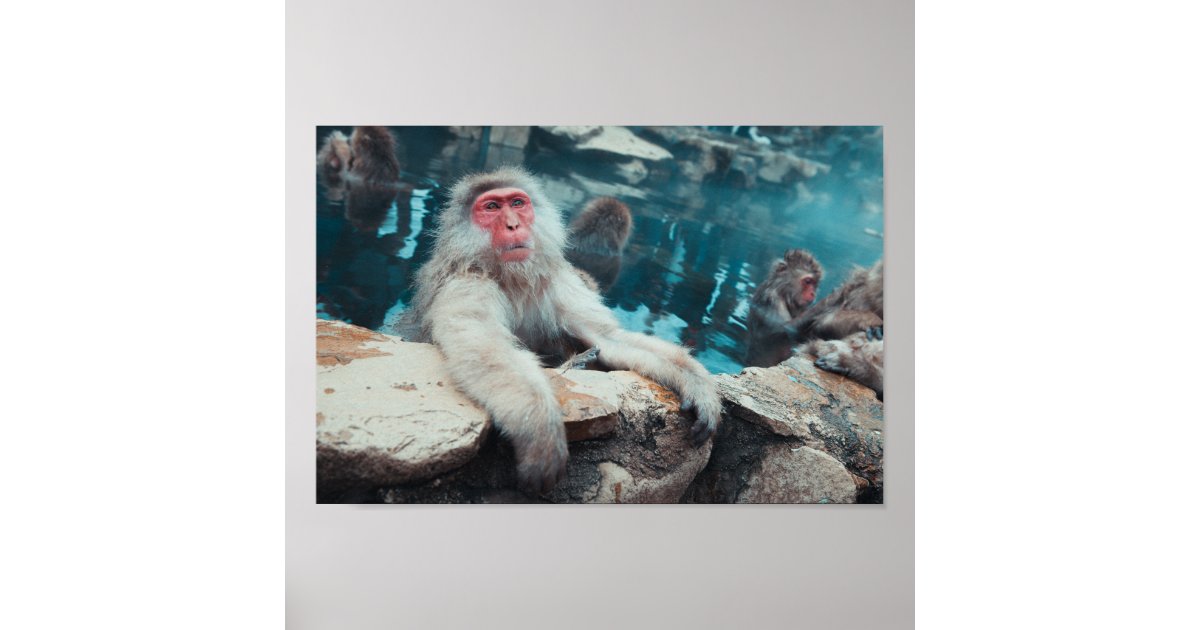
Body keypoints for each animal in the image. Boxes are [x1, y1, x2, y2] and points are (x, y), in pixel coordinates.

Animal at [404, 167, 721, 494]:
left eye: (517, 203)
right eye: (491, 207)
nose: (513, 224)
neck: (512, 279)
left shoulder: (556, 282)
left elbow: (608, 337)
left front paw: (694, 381)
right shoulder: (466, 283)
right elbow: (484, 346)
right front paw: (539, 425)